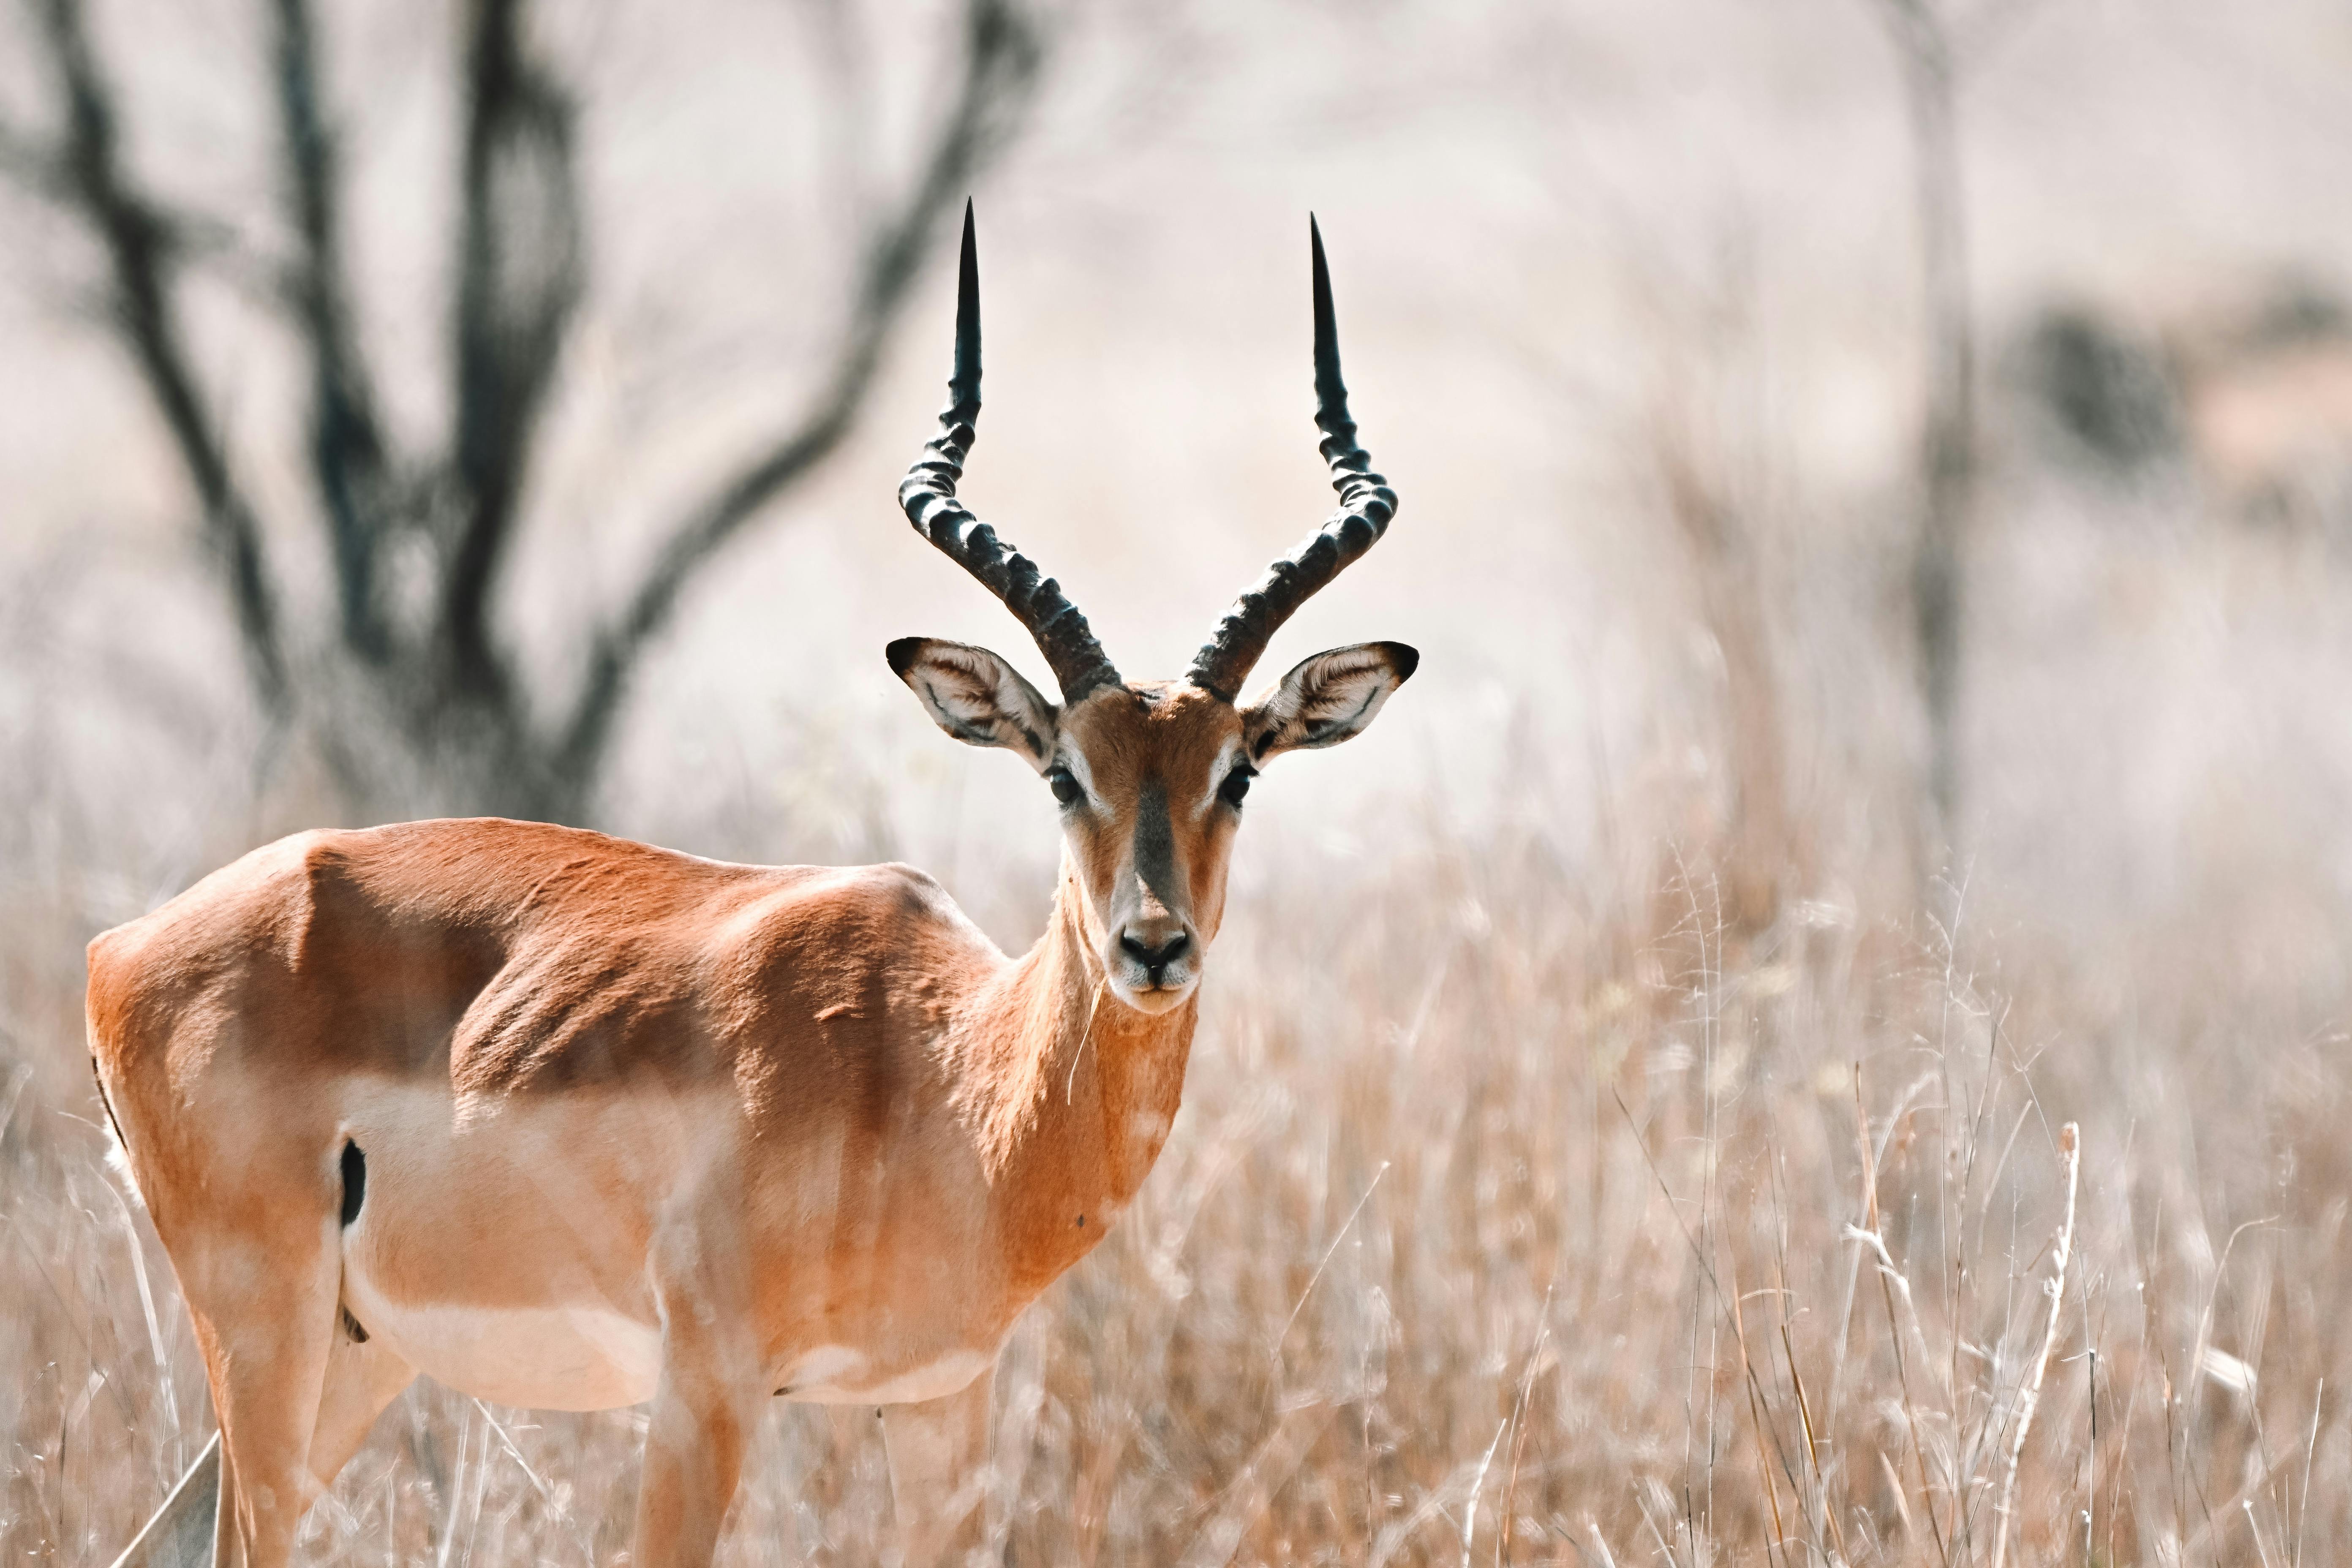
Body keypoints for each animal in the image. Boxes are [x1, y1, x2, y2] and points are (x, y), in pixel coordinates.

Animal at [88, 206, 1415, 1568]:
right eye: (1063, 775)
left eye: (1237, 774)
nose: (1153, 947)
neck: (945, 1075)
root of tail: (122, 946)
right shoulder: (706, 1386)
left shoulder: (939, 1402)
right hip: (269, 1327)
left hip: (354, 1353)